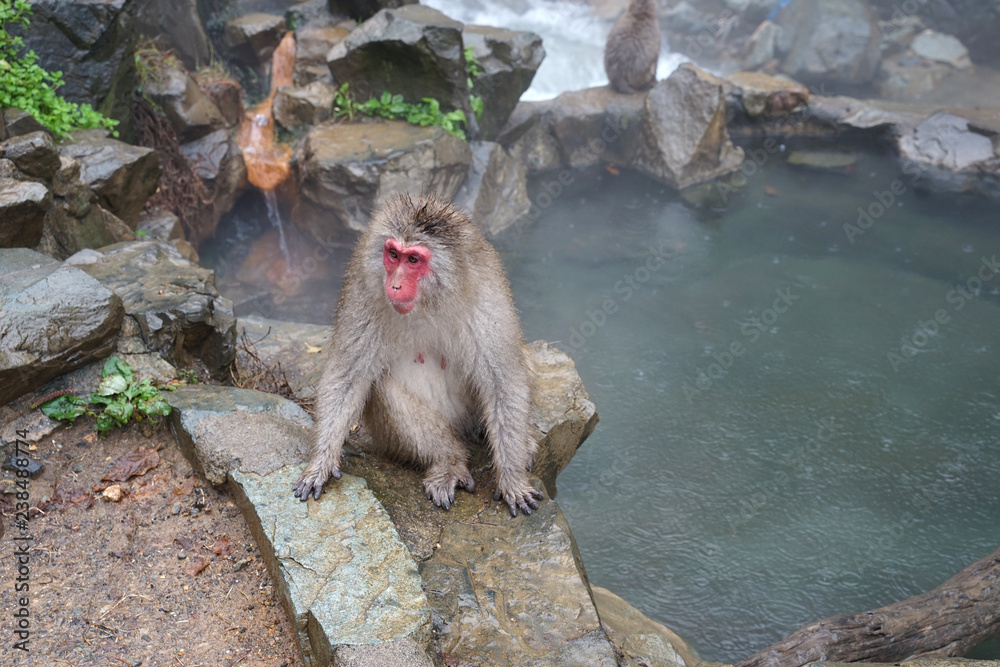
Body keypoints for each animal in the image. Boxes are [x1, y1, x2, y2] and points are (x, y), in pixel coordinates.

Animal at [293, 194, 545, 517]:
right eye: (393, 254)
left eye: (413, 260)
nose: (395, 285)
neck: (429, 303)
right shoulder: (363, 292)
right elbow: (347, 377)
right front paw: (321, 462)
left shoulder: (487, 297)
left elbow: (503, 381)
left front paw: (512, 478)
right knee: (381, 386)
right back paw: (448, 461)